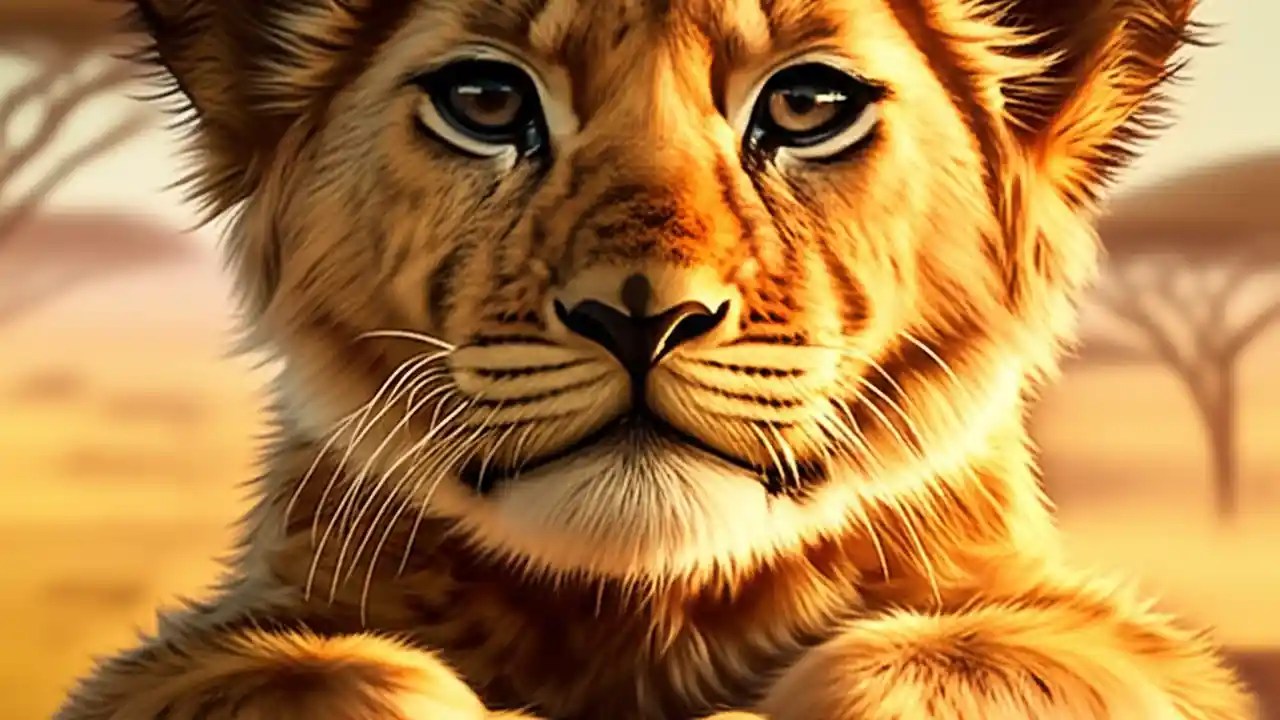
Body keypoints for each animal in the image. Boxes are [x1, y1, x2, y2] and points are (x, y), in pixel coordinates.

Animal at [57, 0, 1255, 718]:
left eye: (806, 104)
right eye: (485, 100)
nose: (640, 317)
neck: (647, 622)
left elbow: (967, 652)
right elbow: (312, 668)